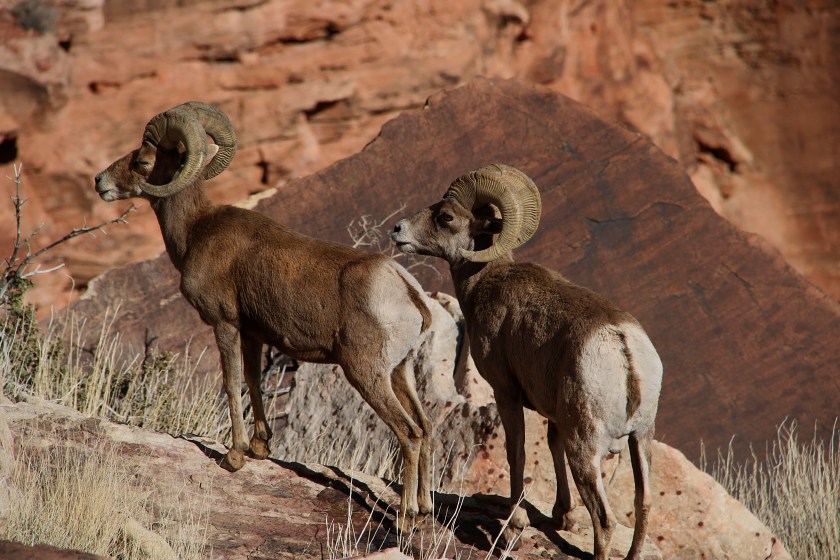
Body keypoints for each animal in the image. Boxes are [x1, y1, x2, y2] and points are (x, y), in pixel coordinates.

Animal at [94, 102, 434, 520]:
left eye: (142, 161)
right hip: (401, 372)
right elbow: (254, 382)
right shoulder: (253, 334)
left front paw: (234, 457)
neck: (195, 231)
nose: (100, 181)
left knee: (410, 433)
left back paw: (405, 517)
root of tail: (407, 291)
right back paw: (425, 506)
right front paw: (259, 448)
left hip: (366, 373)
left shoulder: (224, 323)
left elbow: (231, 382)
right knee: (426, 428)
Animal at [391, 164, 662, 559]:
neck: (484, 283)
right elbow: (551, 446)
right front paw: (562, 516)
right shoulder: (555, 414)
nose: (397, 231)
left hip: (587, 447)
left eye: (446, 217)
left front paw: (514, 522)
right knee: (644, 506)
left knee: (606, 520)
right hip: (641, 440)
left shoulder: (505, 392)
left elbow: (515, 453)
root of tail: (622, 345)